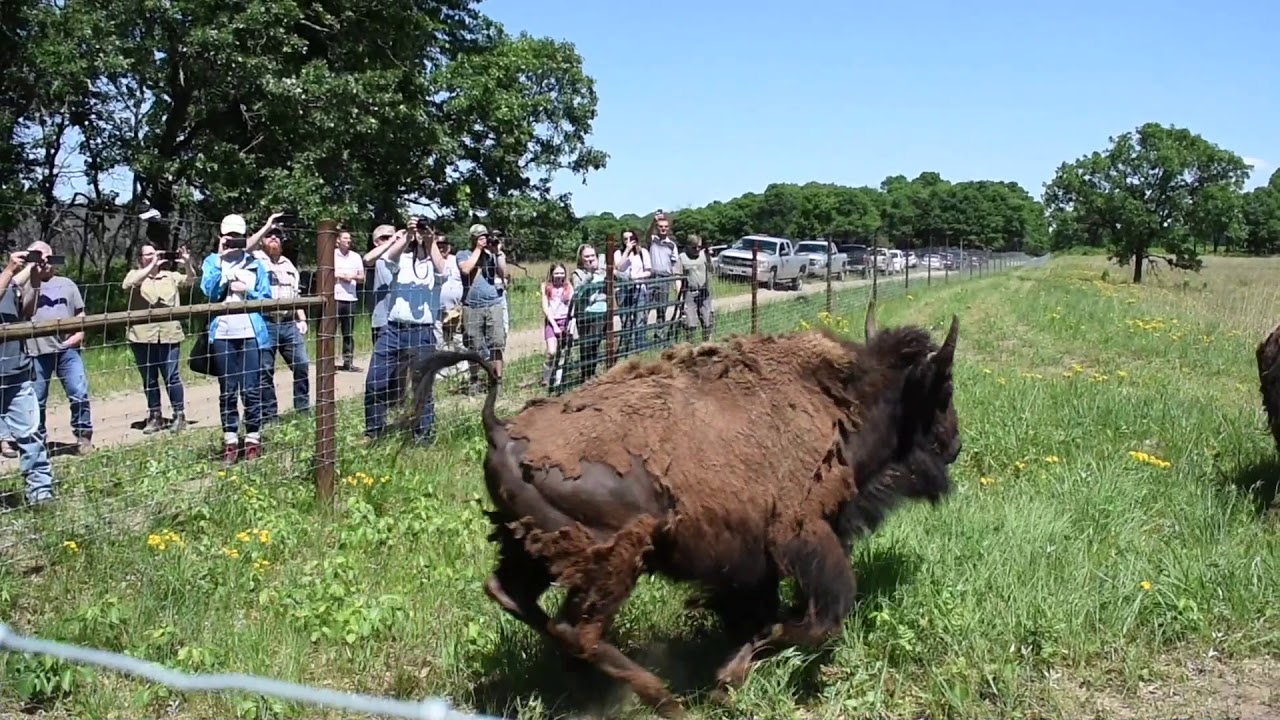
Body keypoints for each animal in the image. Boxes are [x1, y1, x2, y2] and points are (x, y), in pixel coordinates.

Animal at [401, 302, 962, 717]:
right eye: (944, 390)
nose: (955, 443)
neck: (844, 405)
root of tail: (499, 428)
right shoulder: (805, 536)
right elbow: (815, 618)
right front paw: (726, 681)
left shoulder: (757, 564)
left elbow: (768, 613)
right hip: (616, 555)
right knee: (578, 629)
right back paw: (665, 701)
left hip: (533, 548)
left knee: (514, 597)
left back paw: (592, 687)